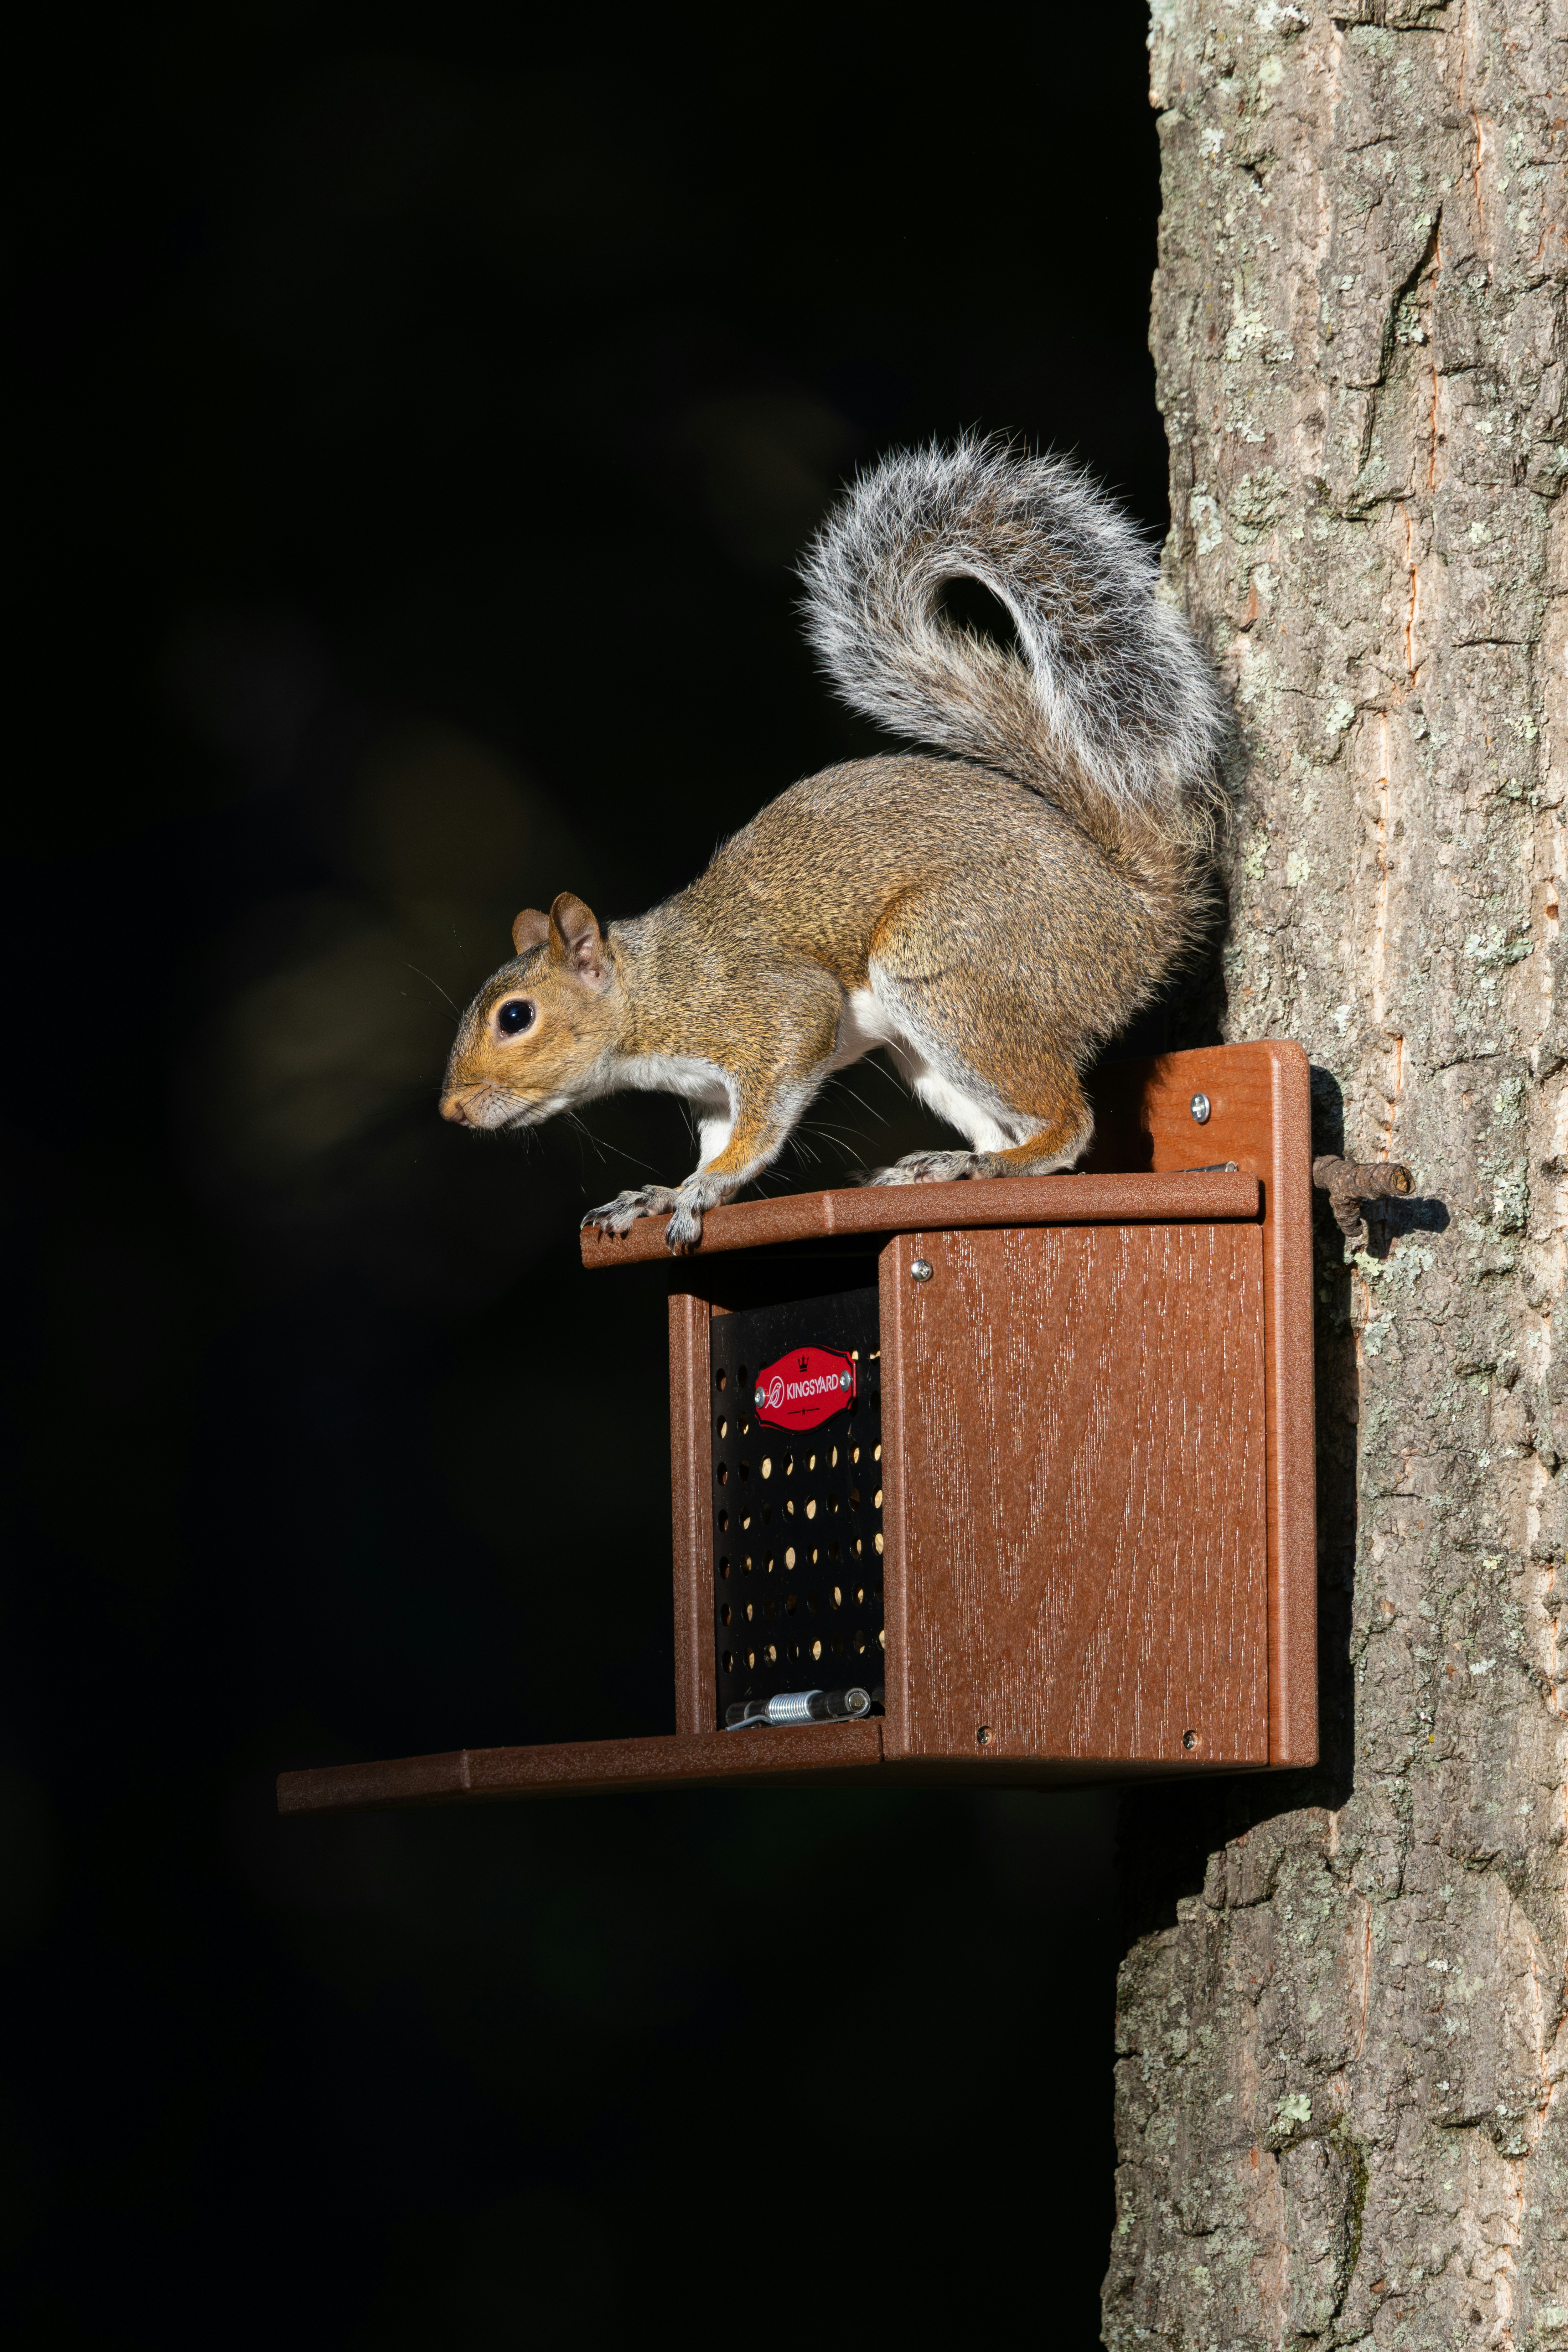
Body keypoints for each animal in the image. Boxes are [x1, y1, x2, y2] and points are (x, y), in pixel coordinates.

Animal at [439, 436, 1227, 1252]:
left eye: (515, 1017)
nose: (452, 1111)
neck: (651, 992)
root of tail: (1134, 916)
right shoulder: (712, 1090)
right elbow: (718, 1138)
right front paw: (663, 1192)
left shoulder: (768, 1012)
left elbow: (763, 1116)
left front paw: (706, 1188)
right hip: (930, 1047)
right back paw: (948, 1166)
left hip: (953, 967)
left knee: (1068, 1126)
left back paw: (997, 1164)